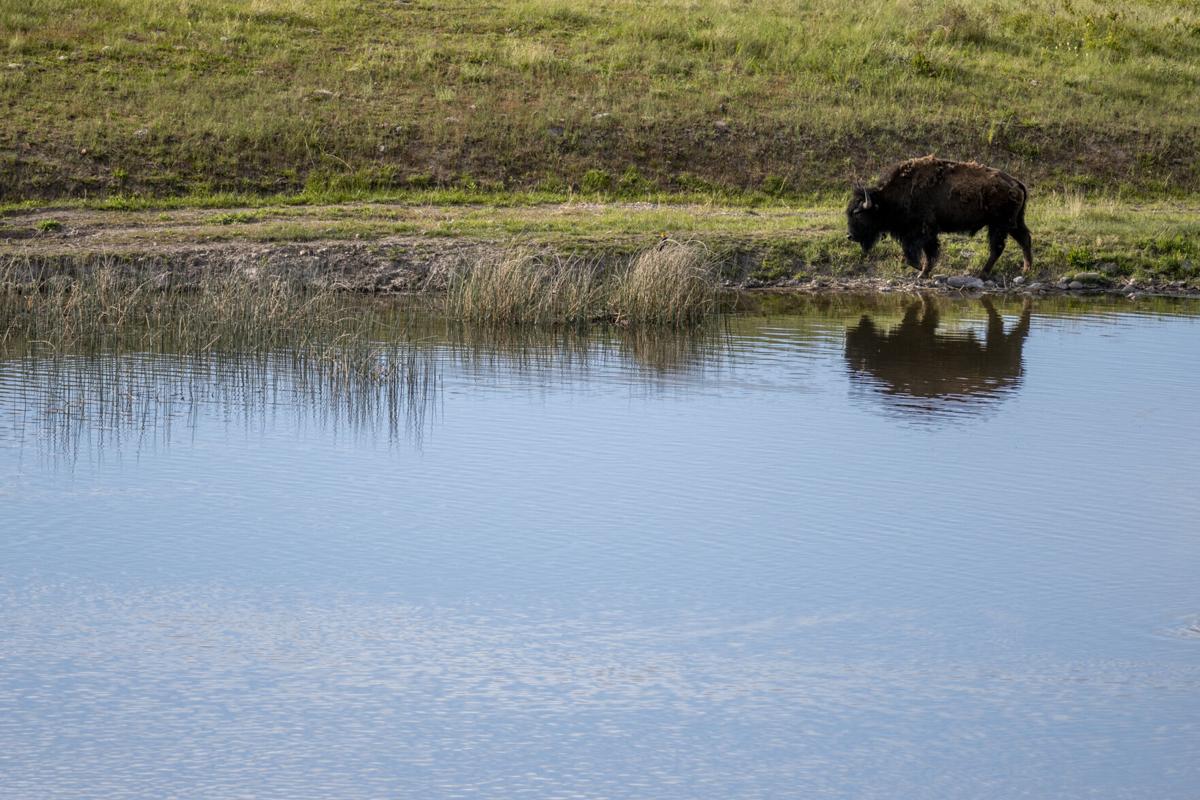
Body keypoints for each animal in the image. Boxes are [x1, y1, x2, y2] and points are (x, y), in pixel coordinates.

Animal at [847, 156, 1033, 278]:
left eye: (859, 215)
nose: (849, 236)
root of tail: (1016, 183)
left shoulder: (923, 231)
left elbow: (921, 252)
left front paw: (922, 271)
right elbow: (921, 252)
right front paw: (923, 270)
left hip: (999, 225)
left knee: (998, 247)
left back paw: (983, 273)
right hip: (1013, 223)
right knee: (1024, 239)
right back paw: (1026, 270)